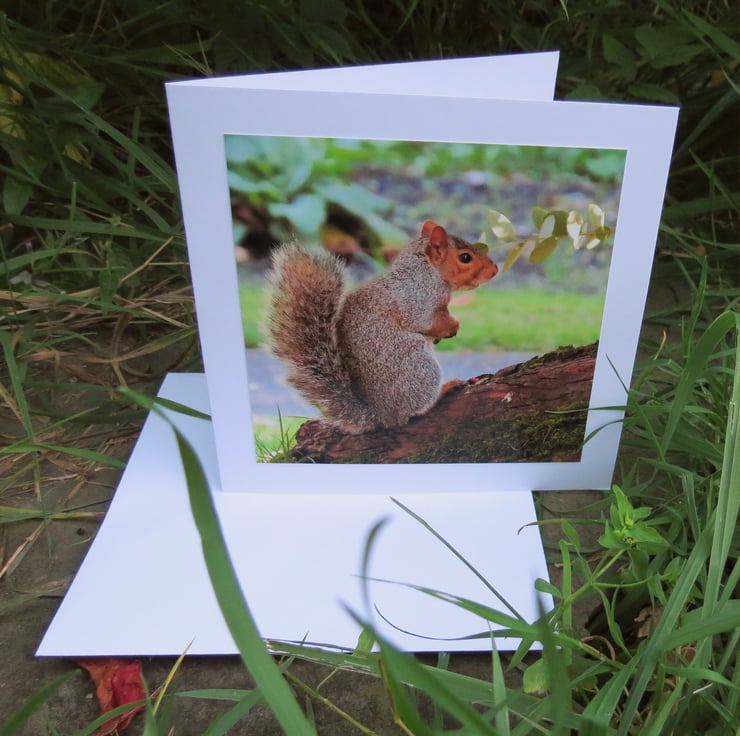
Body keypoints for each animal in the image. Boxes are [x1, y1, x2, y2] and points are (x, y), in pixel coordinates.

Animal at [267, 220, 498, 434]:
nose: (495, 270)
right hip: (416, 364)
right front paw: (452, 326)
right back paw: (444, 390)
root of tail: (382, 414)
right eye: (465, 257)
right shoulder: (417, 299)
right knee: (414, 412)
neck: (426, 270)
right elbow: (425, 321)